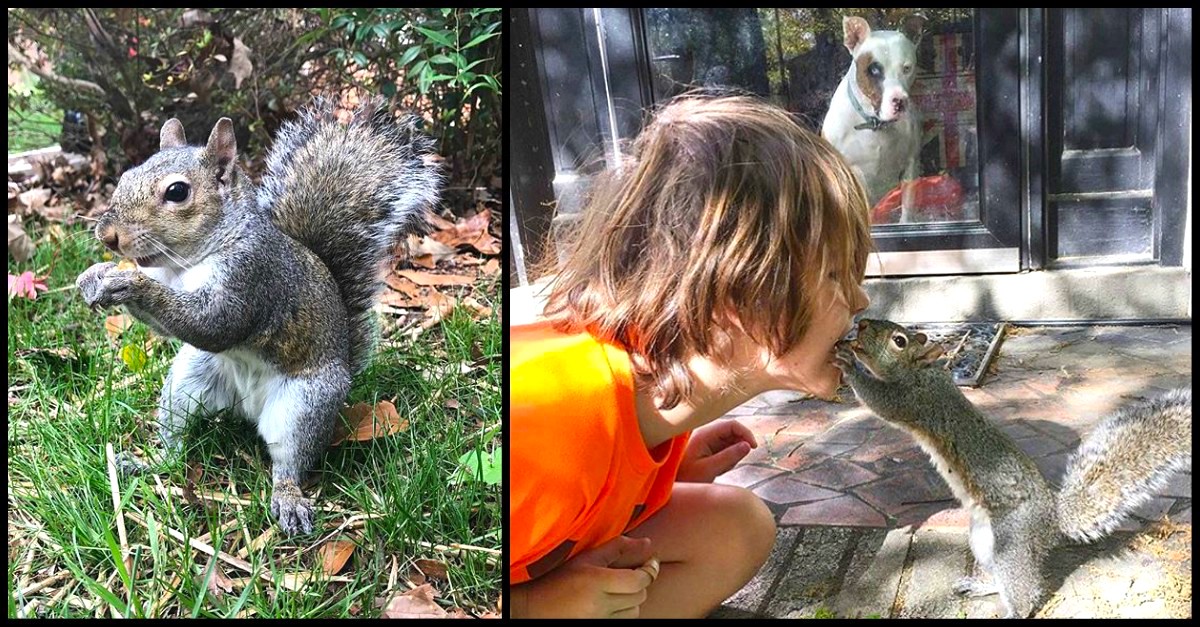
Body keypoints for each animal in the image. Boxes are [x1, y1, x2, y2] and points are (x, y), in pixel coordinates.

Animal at [75, 96, 441, 535]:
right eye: (127, 175)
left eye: (177, 192)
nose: (107, 236)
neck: (187, 263)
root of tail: (246, 409)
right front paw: (95, 276)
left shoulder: (251, 278)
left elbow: (213, 324)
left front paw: (129, 284)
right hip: (188, 382)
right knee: (176, 444)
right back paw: (146, 463)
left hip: (302, 407)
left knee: (289, 461)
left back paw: (288, 499)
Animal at [832, 319, 1191, 618]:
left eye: (899, 340)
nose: (860, 324)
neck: (922, 372)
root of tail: (1051, 522)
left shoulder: (912, 399)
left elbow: (879, 401)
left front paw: (848, 365)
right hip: (982, 538)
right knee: (1000, 578)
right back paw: (979, 585)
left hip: (1012, 540)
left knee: (1024, 590)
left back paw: (1013, 610)